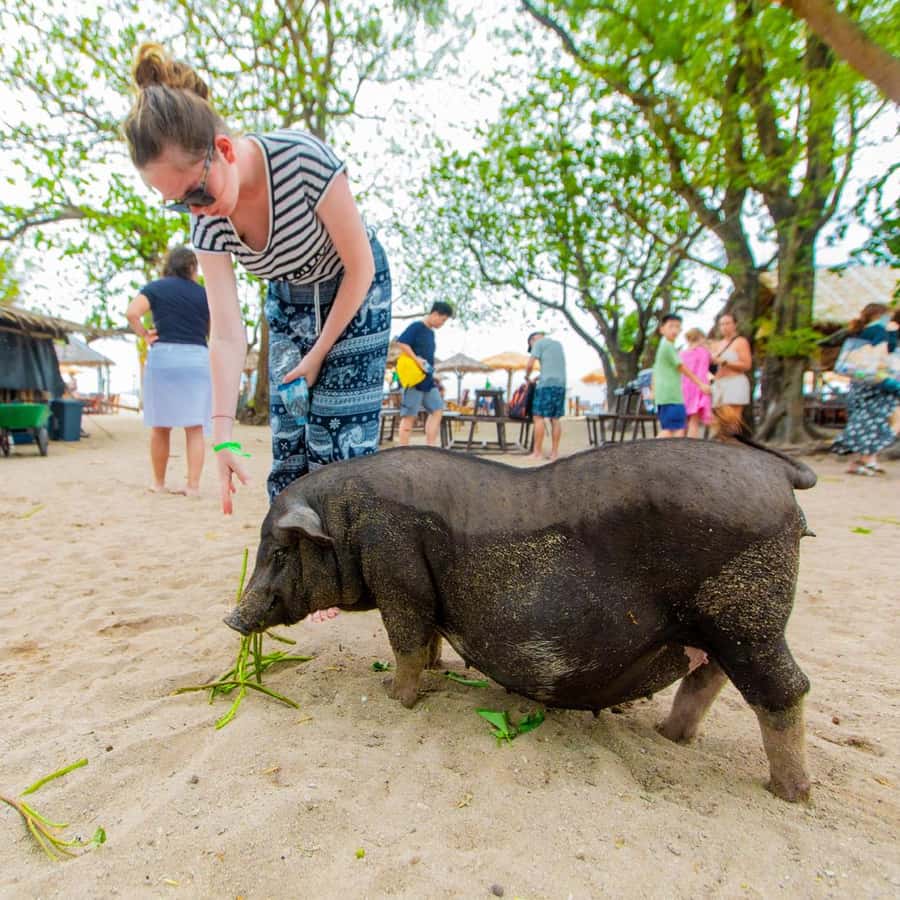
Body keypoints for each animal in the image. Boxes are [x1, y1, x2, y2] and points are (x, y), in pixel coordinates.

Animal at [226, 439, 817, 802]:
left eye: (280, 552)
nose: (231, 619)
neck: (347, 522)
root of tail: (775, 470)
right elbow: (430, 640)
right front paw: (437, 674)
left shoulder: (397, 573)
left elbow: (407, 642)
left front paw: (397, 700)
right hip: (723, 627)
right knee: (709, 679)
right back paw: (669, 737)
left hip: (747, 617)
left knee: (785, 691)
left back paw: (790, 794)